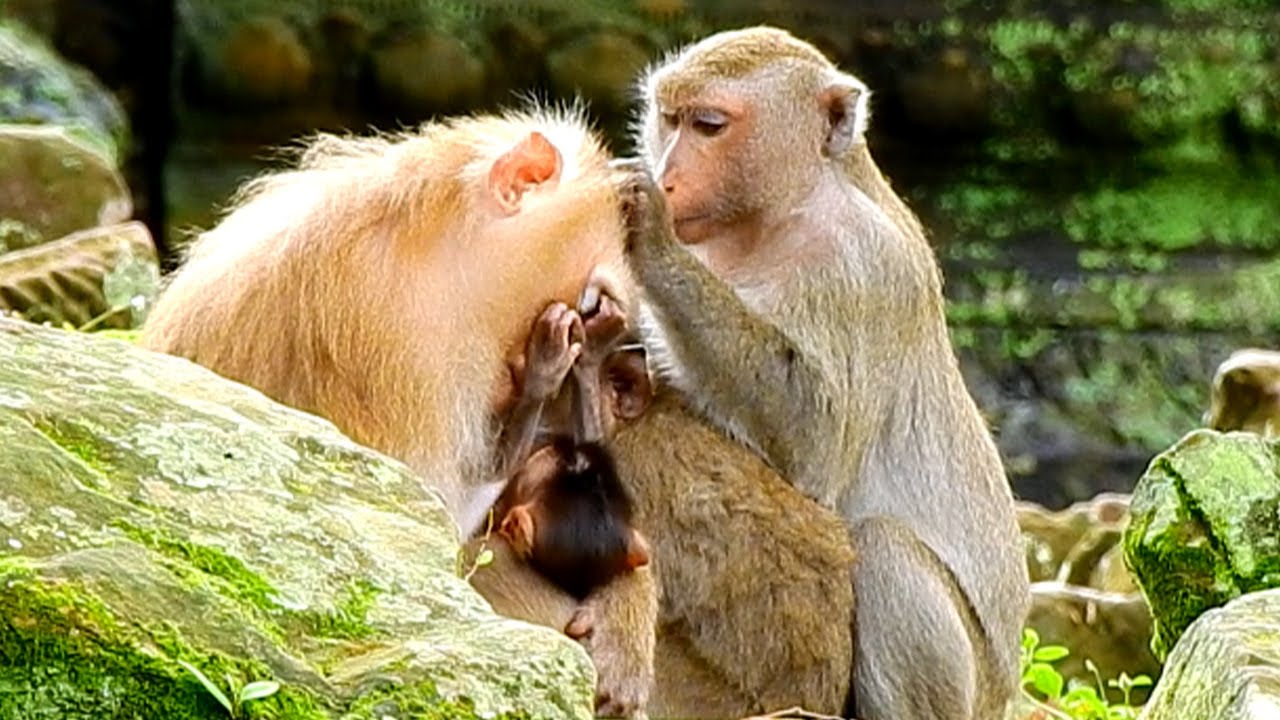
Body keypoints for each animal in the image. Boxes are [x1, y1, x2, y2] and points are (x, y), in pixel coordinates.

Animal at [615, 26, 1031, 720]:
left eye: (708, 125)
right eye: (667, 119)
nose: (669, 179)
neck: (775, 214)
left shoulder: (858, 267)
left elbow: (812, 448)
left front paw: (652, 242)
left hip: (972, 685)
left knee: (887, 559)